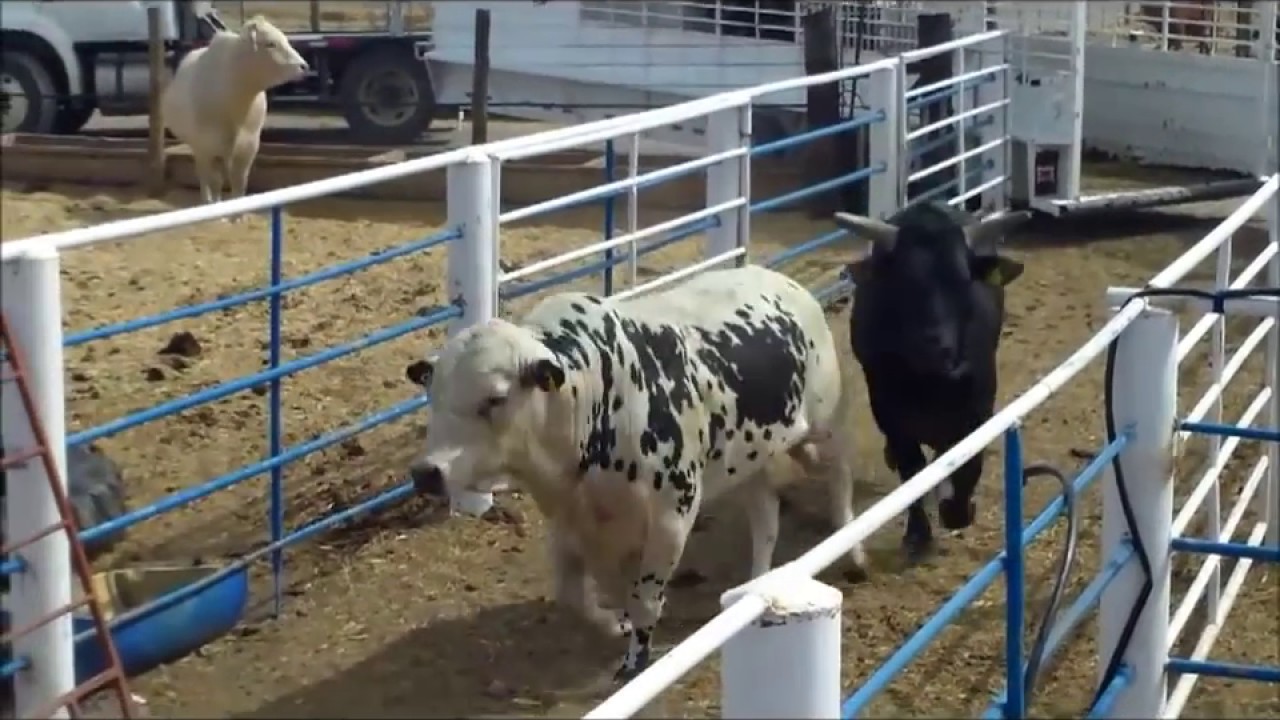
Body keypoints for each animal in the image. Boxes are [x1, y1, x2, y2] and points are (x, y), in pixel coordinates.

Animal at [161, 15, 307, 217]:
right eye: (270, 43)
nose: (304, 66)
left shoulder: (249, 146)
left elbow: (240, 180)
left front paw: (238, 215)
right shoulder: (207, 145)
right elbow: (215, 180)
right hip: (199, 146)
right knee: (204, 175)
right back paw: (206, 201)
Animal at [402, 265, 864, 681]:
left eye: (495, 398)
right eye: (432, 392)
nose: (427, 472)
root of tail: (789, 285)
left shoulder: (672, 514)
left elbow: (644, 598)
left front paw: (634, 661)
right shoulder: (570, 521)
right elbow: (577, 596)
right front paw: (616, 624)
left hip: (820, 430)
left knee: (840, 473)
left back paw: (854, 550)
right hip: (749, 460)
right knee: (766, 517)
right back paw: (756, 582)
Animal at [834, 203, 1031, 561]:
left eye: (964, 283)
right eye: (903, 284)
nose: (938, 349)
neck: (931, 383)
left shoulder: (978, 407)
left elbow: (968, 460)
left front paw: (957, 511)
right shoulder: (889, 411)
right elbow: (912, 468)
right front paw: (917, 532)